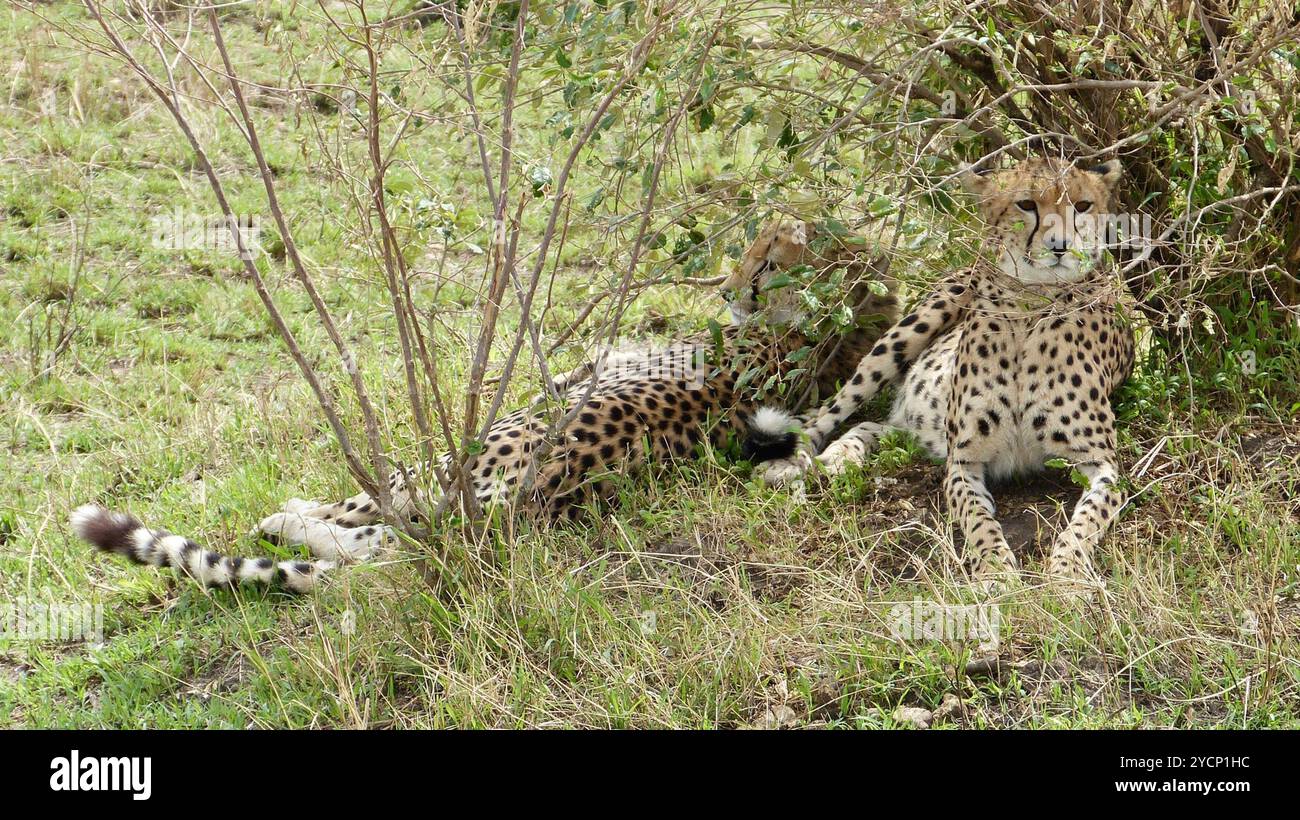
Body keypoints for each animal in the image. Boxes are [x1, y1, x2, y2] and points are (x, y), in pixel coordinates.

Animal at [71, 219, 899, 593]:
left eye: (765, 266)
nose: (729, 288)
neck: (809, 332)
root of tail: (532, 497)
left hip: (444, 461)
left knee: (368, 524)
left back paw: (286, 515)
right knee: (383, 546)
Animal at [746, 157, 1136, 590]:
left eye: (1083, 206)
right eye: (1026, 205)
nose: (1060, 247)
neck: (1031, 304)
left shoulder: (1103, 464)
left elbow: (1085, 523)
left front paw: (1068, 575)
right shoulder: (963, 461)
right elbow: (978, 520)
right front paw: (995, 571)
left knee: (878, 426)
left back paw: (844, 455)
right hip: (906, 334)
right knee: (830, 414)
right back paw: (795, 462)